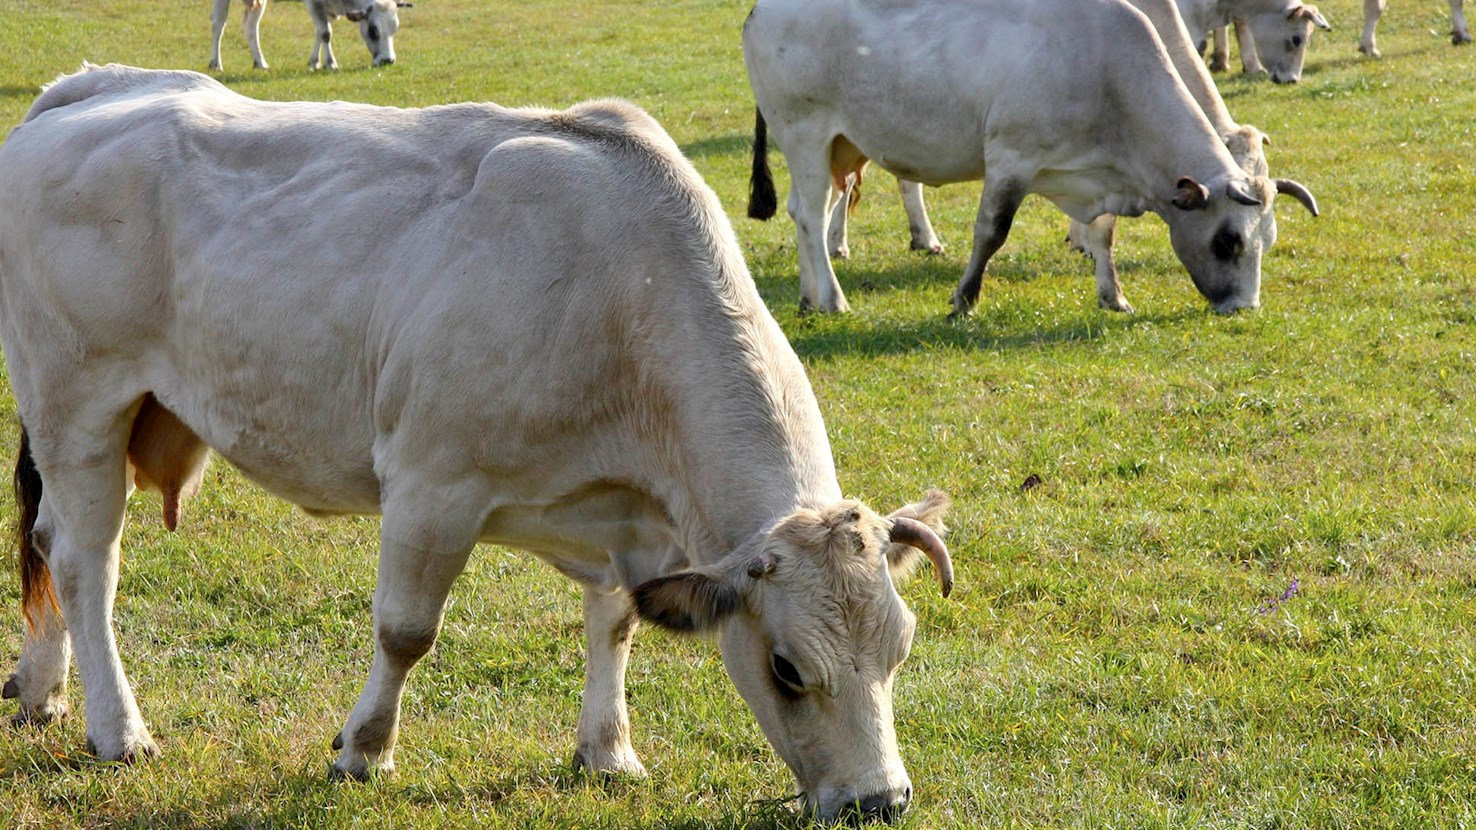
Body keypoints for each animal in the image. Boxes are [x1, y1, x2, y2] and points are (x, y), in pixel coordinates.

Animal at [0, 64, 954, 824]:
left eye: (902, 647)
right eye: (787, 669)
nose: (881, 800)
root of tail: (97, 87)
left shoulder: (626, 520)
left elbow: (615, 623)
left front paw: (608, 752)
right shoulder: (433, 483)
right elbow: (405, 632)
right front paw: (364, 750)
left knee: (46, 543)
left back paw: (43, 692)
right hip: (78, 402)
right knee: (85, 564)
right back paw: (118, 728)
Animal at [744, 0, 1320, 316]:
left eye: (1266, 240)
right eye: (1228, 241)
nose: (1243, 308)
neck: (1106, 71)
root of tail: (761, 10)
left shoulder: (1100, 173)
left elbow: (1103, 235)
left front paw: (1113, 296)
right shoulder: (1010, 160)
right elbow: (991, 232)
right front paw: (964, 299)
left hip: (840, 145)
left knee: (810, 214)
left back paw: (808, 296)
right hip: (805, 134)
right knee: (810, 215)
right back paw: (833, 298)